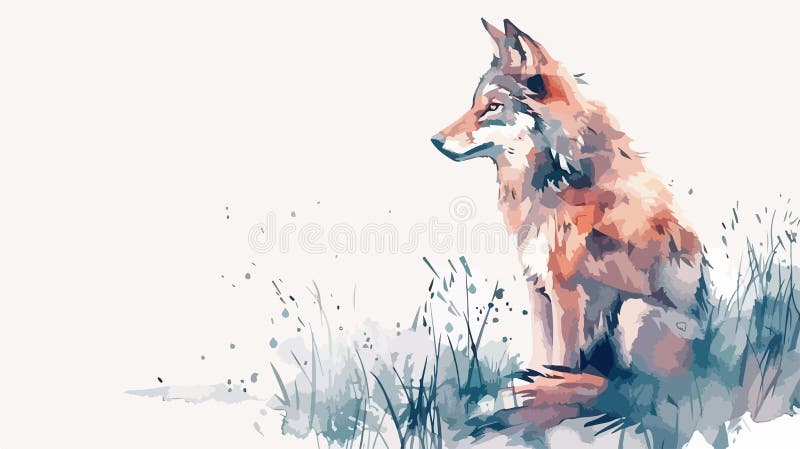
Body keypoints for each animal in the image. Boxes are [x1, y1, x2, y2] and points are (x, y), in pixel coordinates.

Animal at [431, 19, 709, 409]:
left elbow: (560, 358)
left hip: (631, 313)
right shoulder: (537, 286)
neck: (555, 174)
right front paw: (531, 383)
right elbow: (542, 354)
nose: (435, 141)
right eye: (474, 104)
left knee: (634, 391)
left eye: (493, 107)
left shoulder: (565, 289)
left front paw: (537, 390)